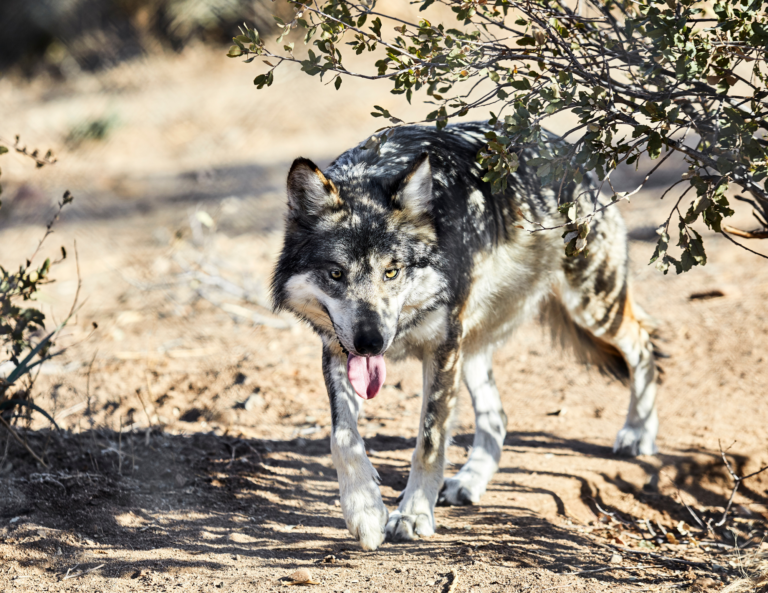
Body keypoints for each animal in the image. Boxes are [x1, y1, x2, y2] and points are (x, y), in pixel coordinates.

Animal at [271, 122, 661, 551]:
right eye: (336, 273)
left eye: (392, 271)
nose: (372, 344)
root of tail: (571, 155)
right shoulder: (338, 348)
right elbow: (343, 437)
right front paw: (365, 511)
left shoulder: (441, 348)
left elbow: (429, 442)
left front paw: (413, 514)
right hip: (471, 344)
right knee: (498, 416)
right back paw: (470, 481)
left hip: (590, 306)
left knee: (644, 343)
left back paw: (638, 432)